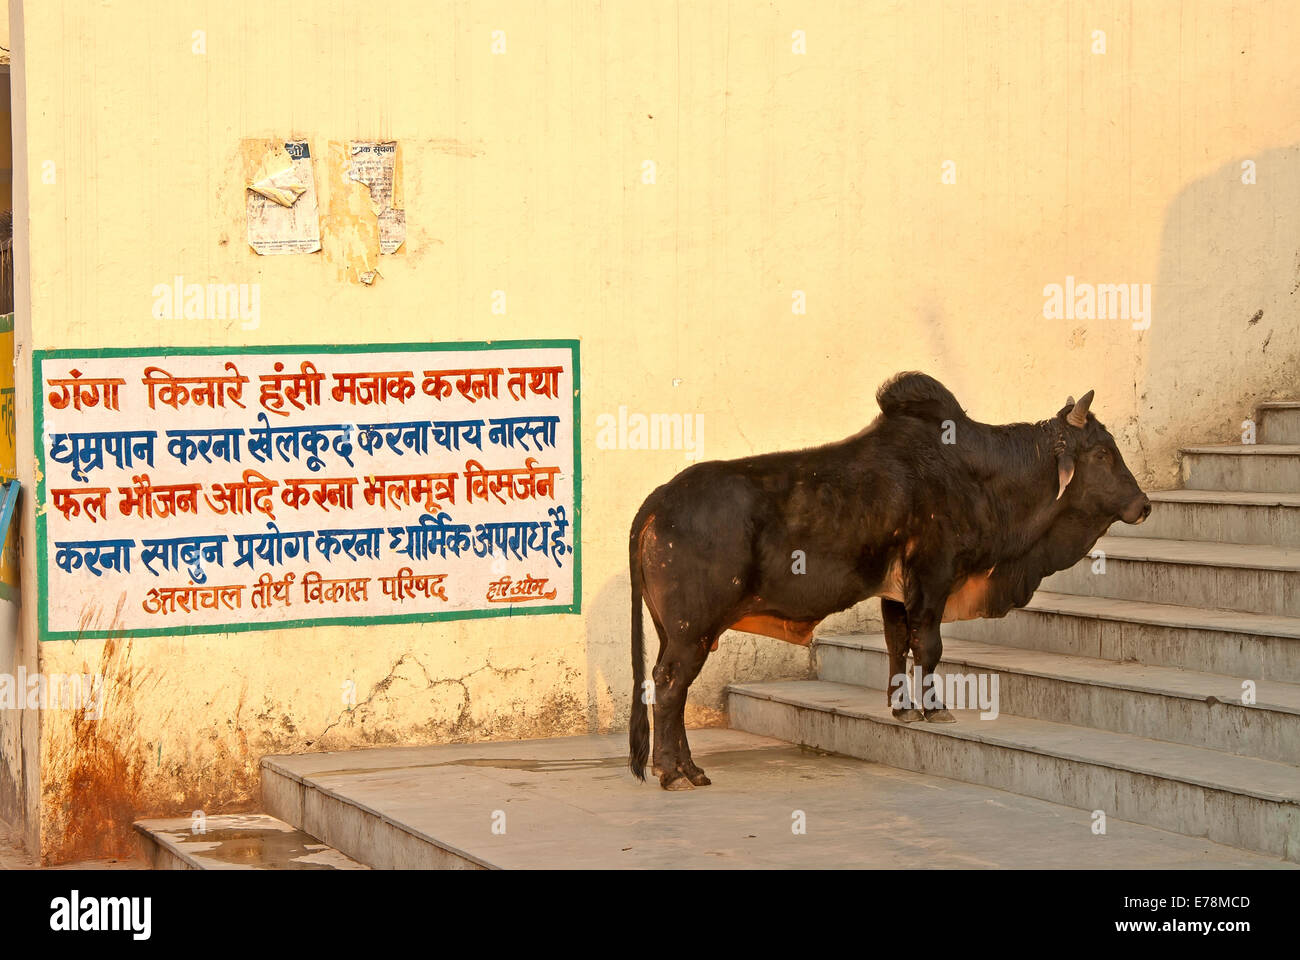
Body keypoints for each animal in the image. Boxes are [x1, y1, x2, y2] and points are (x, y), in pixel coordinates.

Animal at [627, 372, 1150, 790]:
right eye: (1103, 453)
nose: (1143, 504)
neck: (982, 474)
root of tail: (658, 498)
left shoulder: (897, 593)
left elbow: (898, 645)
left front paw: (902, 707)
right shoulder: (934, 576)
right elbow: (929, 647)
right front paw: (934, 709)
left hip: (671, 631)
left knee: (667, 688)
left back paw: (684, 768)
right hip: (692, 631)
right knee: (669, 686)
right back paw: (675, 772)